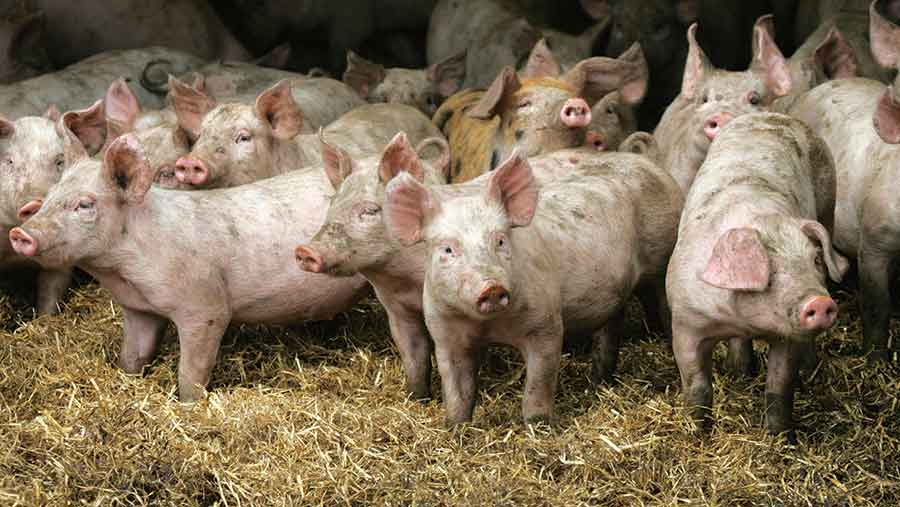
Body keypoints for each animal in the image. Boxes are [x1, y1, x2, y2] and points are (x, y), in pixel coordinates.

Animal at [9, 128, 370, 401]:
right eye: (51, 197)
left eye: (85, 204)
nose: (20, 232)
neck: (123, 271)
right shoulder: (139, 309)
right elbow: (132, 358)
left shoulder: (205, 307)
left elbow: (190, 372)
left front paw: (189, 405)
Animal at [376, 149, 682, 423]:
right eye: (448, 249)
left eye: (500, 240)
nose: (491, 287)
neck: (489, 327)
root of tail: (653, 167)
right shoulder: (445, 333)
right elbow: (457, 390)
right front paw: (455, 427)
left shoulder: (546, 324)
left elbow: (538, 384)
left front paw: (538, 426)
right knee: (611, 326)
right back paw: (599, 380)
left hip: (662, 257)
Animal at [666, 112, 848, 434]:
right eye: (769, 267)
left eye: (815, 259)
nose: (820, 302)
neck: (741, 318)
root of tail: (773, 114)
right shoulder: (685, 322)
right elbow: (697, 386)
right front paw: (699, 432)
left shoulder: (787, 337)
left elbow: (779, 387)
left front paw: (779, 437)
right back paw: (740, 372)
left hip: (829, 199)